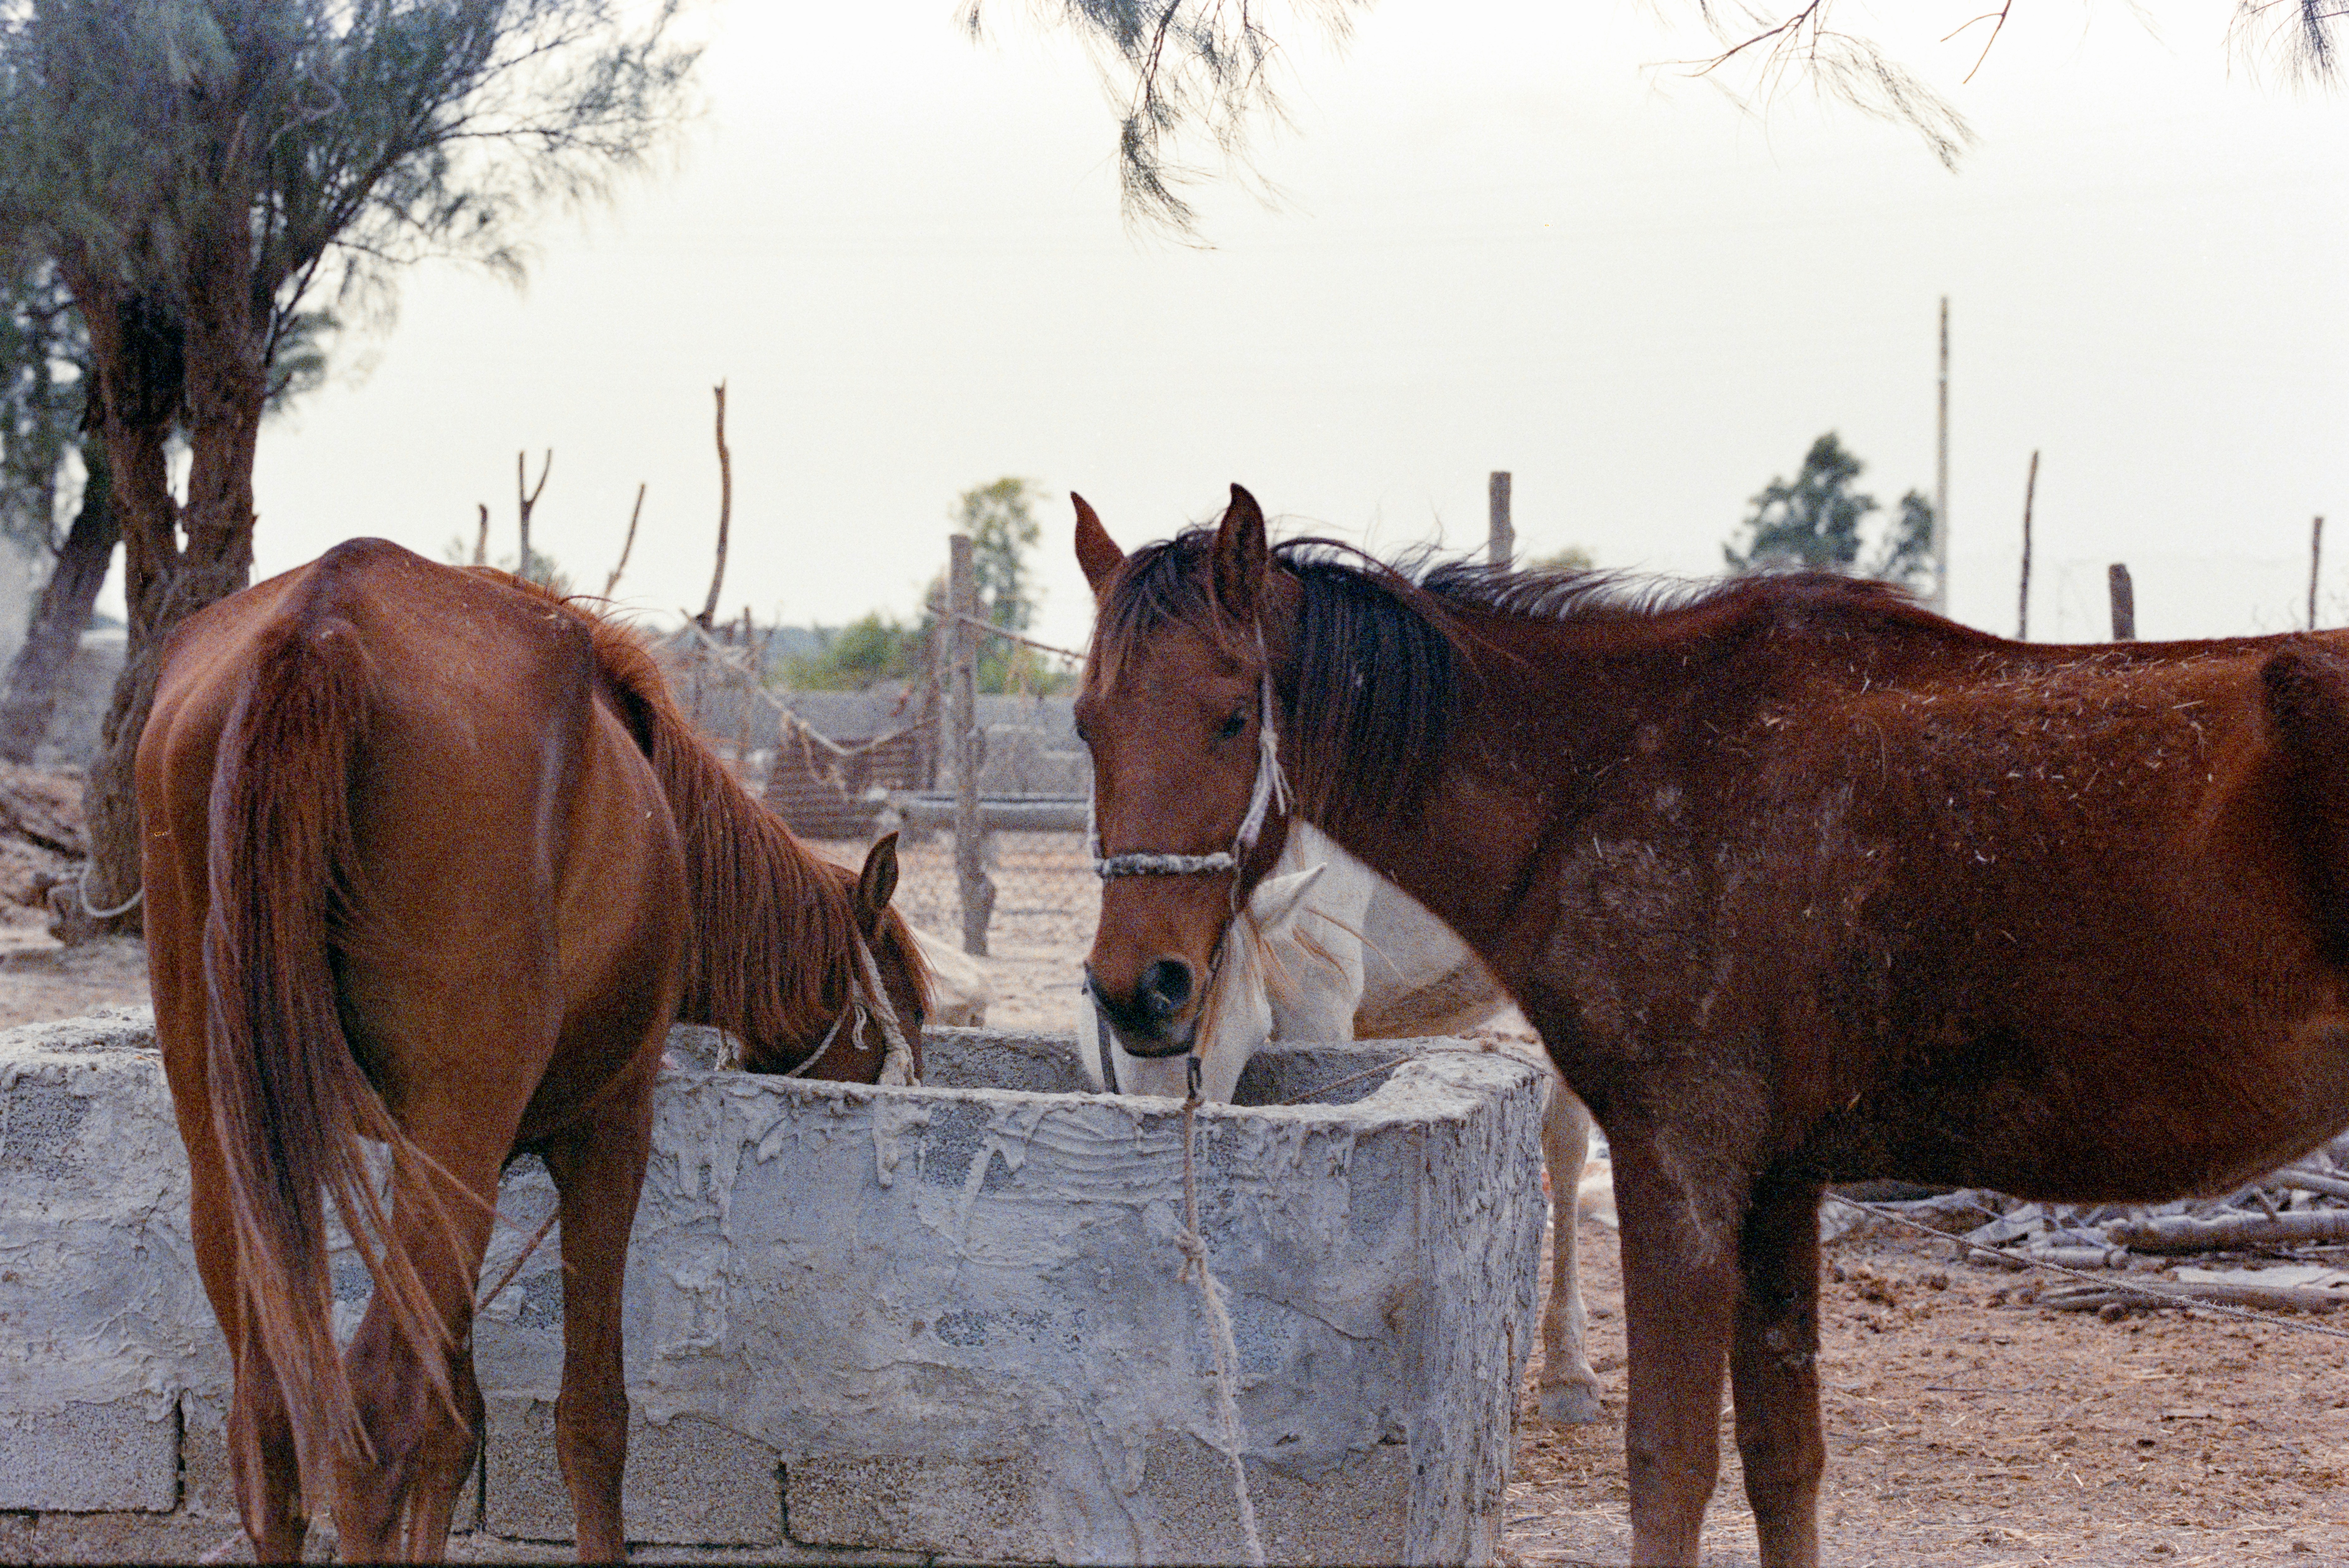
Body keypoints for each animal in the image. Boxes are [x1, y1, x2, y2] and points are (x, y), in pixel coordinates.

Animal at [136, 537, 928, 1563]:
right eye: (904, 1023)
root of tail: (322, 621)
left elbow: (456, 1421)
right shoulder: (609, 1131)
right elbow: (590, 1419)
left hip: (239, 1155)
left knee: (268, 1434)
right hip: (457, 1139)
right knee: (374, 1421)